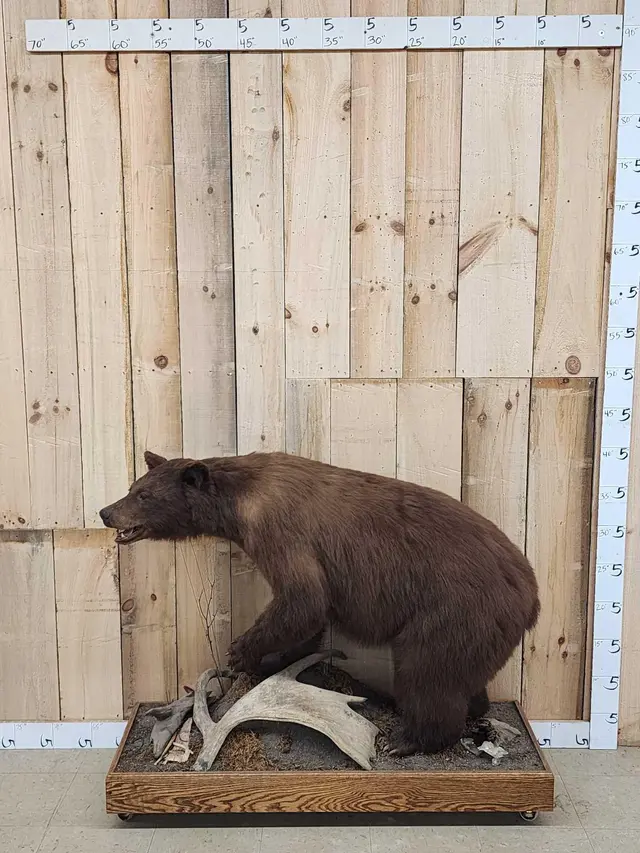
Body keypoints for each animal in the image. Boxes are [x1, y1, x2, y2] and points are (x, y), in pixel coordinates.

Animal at [100, 450, 540, 756]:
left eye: (143, 494)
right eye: (133, 486)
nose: (106, 511)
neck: (242, 502)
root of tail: (531, 596)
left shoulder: (281, 531)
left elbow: (303, 599)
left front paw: (242, 651)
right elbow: (309, 617)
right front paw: (278, 661)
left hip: (455, 610)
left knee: (428, 672)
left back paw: (407, 740)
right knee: (463, 675)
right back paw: (477, 708)